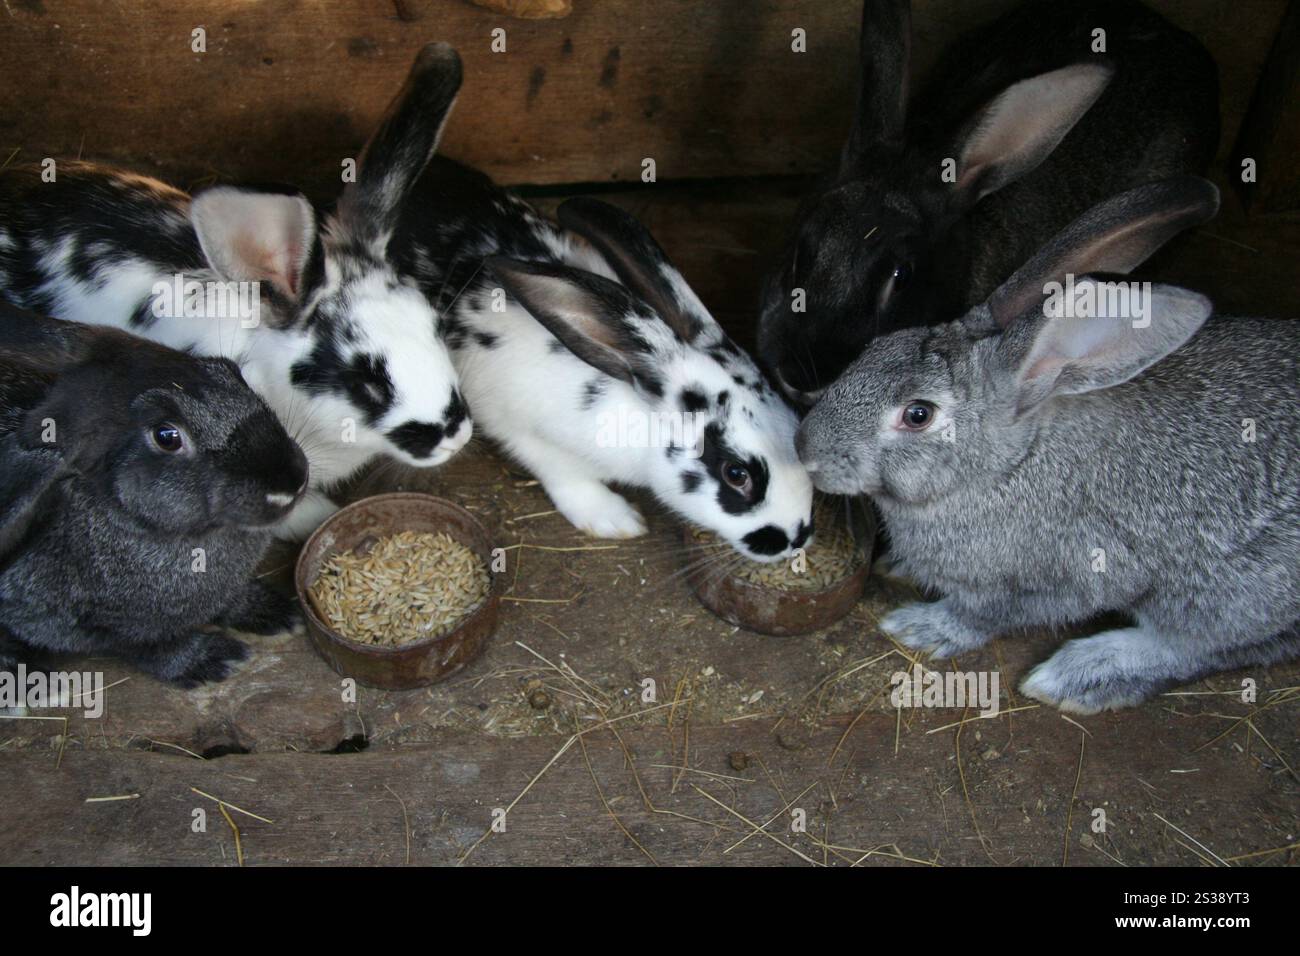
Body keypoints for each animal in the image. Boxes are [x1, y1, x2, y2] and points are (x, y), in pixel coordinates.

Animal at [0, 302, 310, 687]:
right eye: (167, 436)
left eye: (230, 370)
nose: (293, 481)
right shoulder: (66, 620)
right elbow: (146, 647)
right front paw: (213, 660)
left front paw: (276, 613)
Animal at [795, 176, 1300, 713]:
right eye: (873, 349)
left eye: (918, 414)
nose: (805, 448)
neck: (1011, 464)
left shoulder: (1067, 579)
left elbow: (986, 615)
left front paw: (922, 627)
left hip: (1224, 595)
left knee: (1206, 646)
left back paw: (1080, 675)